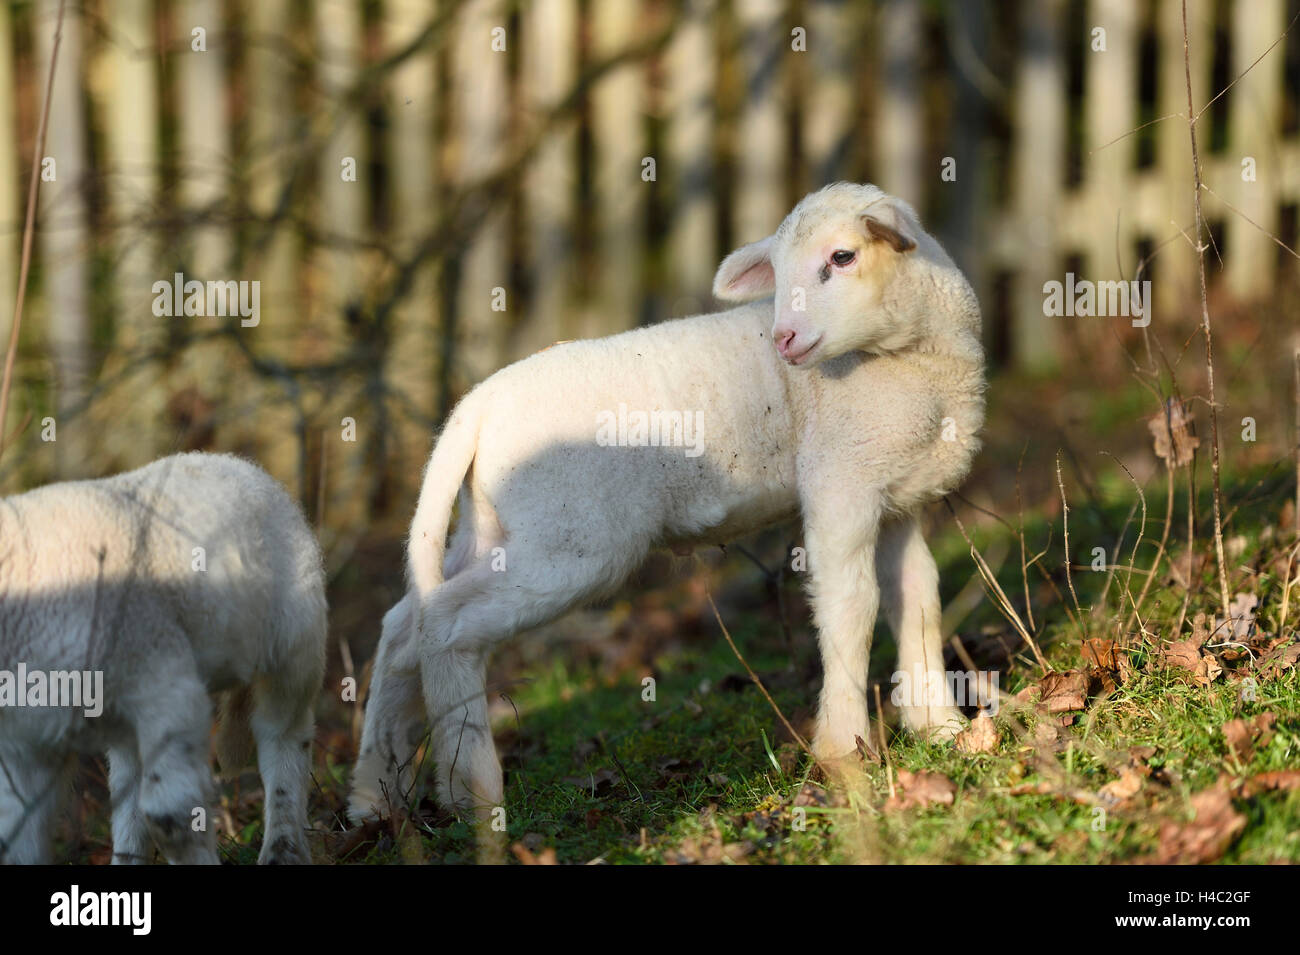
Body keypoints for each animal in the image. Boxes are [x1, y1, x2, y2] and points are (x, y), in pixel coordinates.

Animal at [0, 452, 327, 864]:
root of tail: (236, 462)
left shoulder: (165, 681)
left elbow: (172, 816)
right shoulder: (24, 740)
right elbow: (18, 842)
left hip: (296, 636)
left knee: (284, 733)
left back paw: (283, 849)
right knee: (128, 781)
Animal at [349, 182, 985, 824]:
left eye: (843, 257)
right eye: (779, 272)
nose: (783, 339)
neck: (913, 364)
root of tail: (475, 407)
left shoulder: (898, 495)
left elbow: (918, 597)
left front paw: (943, 729)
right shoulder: (841, 484)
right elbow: (852, 606)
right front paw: (846, 756)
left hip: (492, 527)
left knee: (404, 627)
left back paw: (374, 796)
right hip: (568, 538)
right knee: (446, 622)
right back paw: (473, 791)